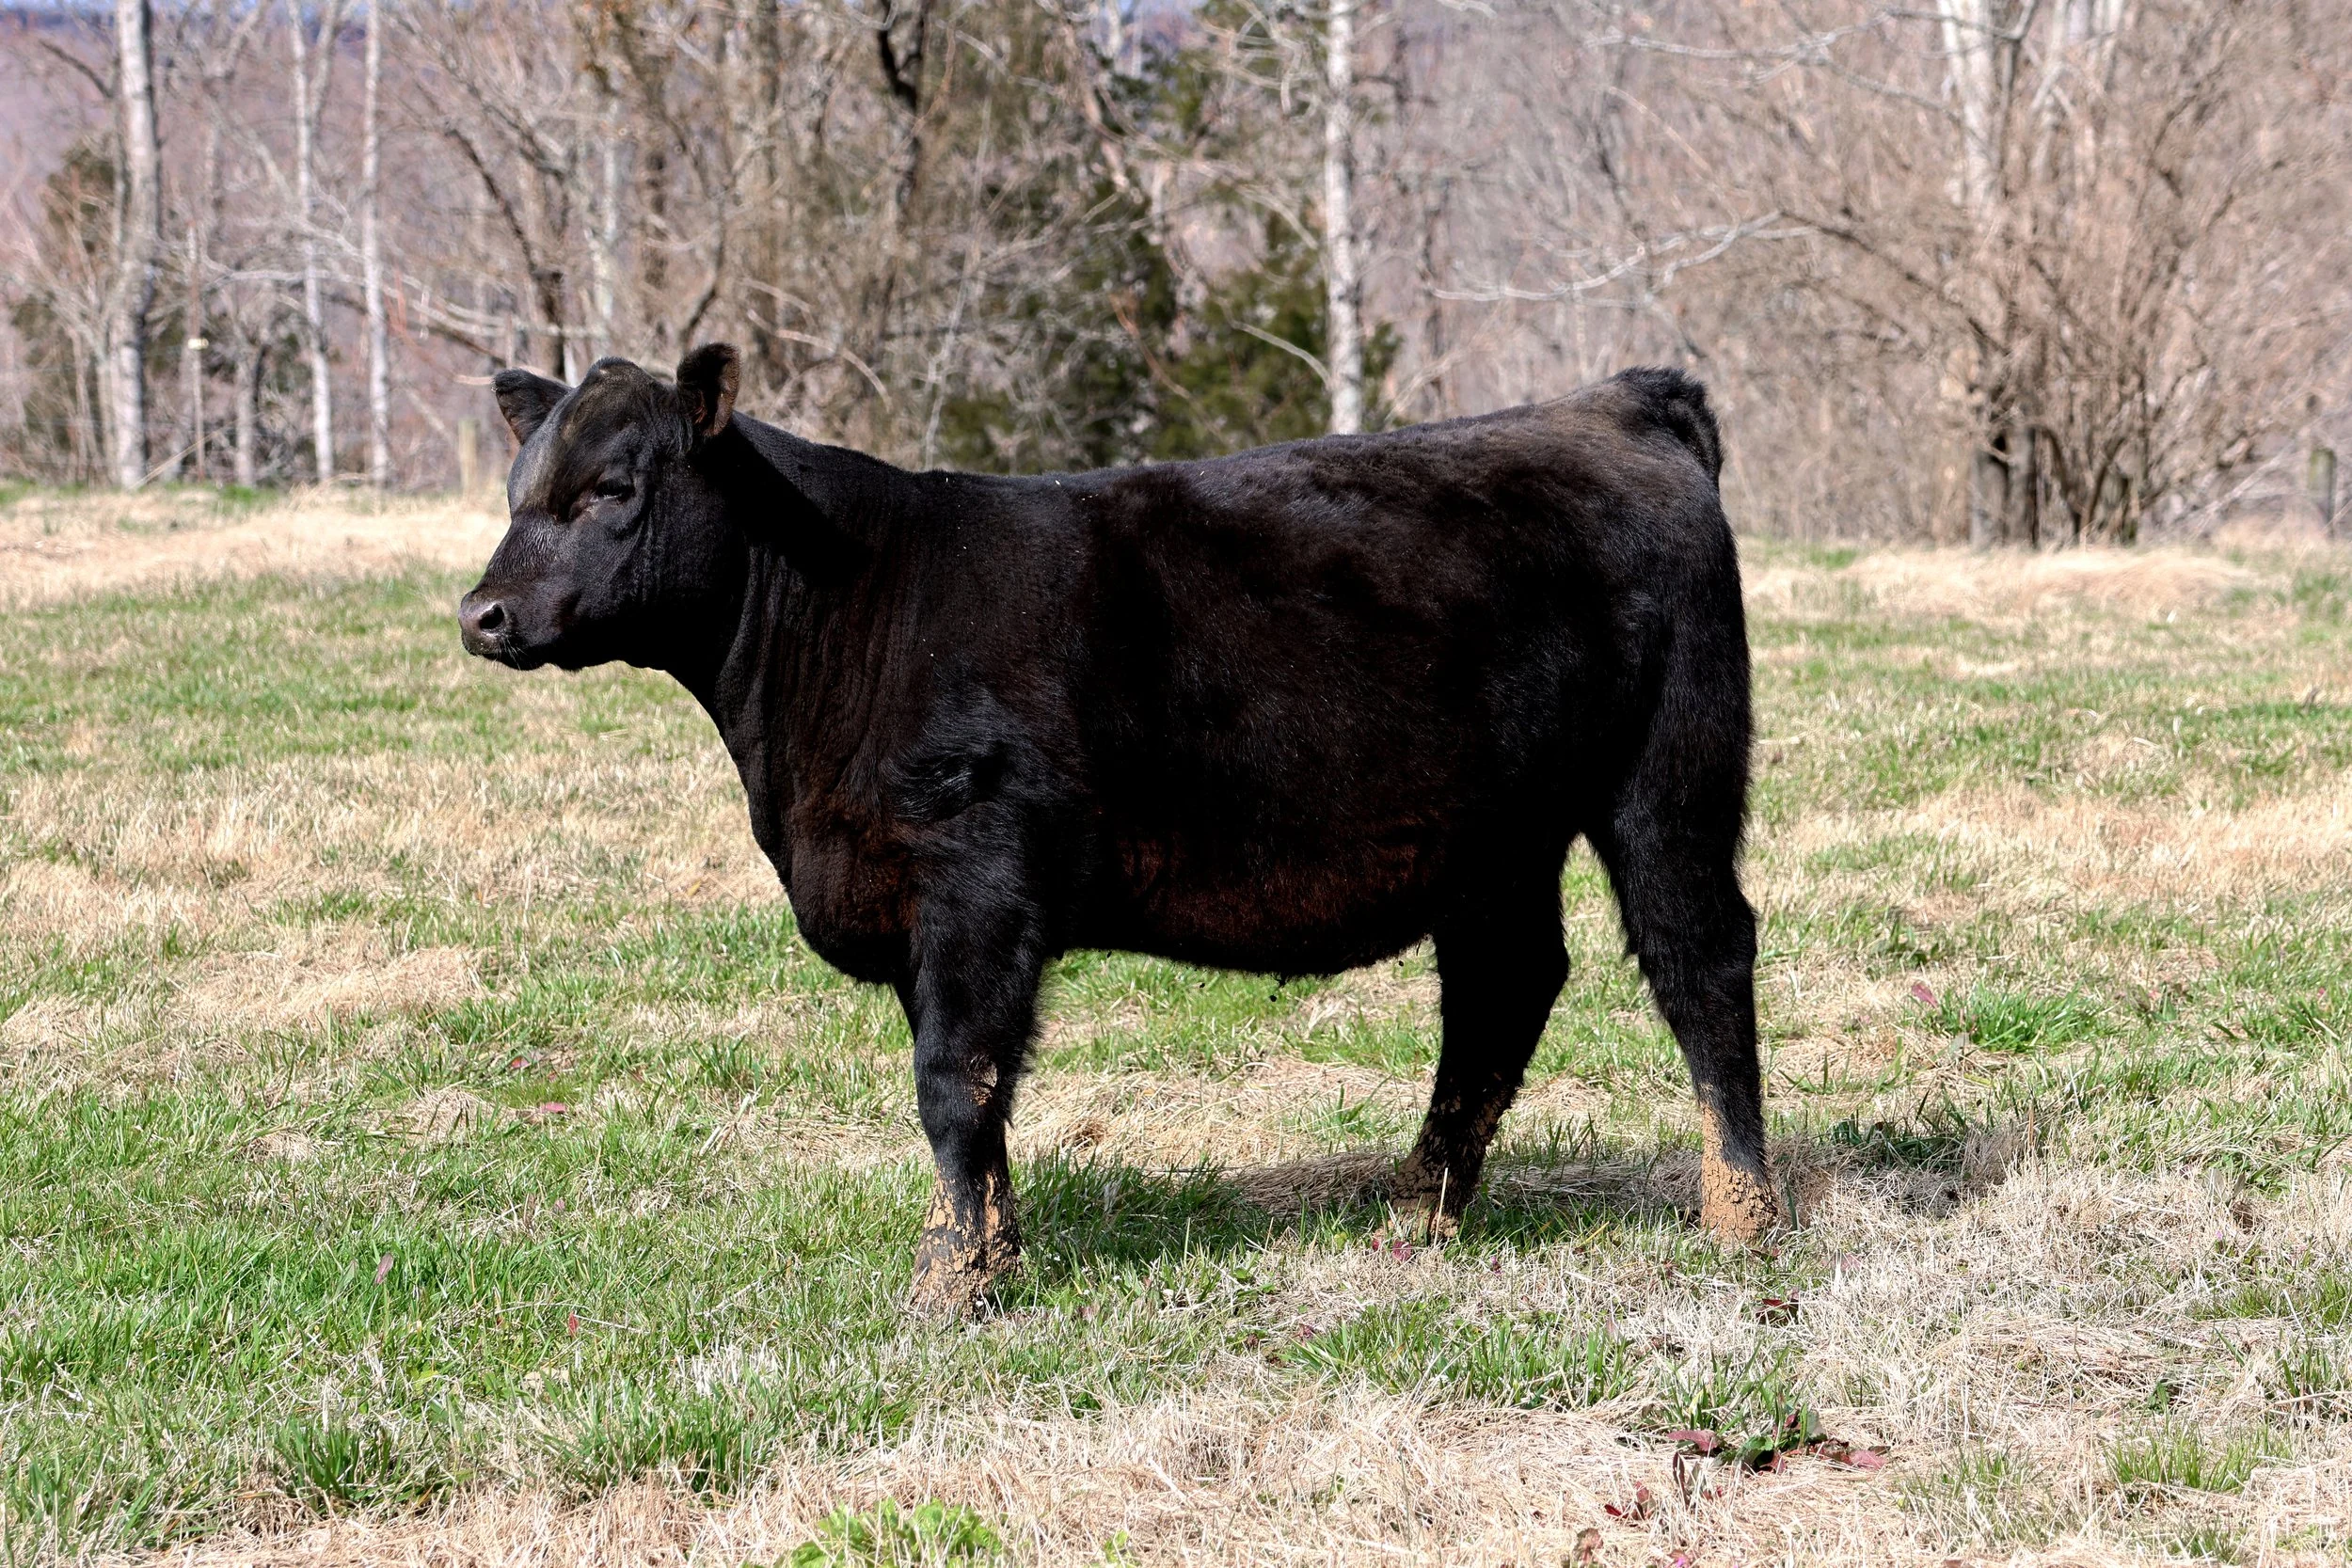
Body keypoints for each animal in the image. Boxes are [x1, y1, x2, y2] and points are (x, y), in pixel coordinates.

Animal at [460, 343, 1776, 1315]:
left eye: (612, 490)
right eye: (519, 490)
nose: (483, 613)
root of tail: (1613, 404)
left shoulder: (974, 879)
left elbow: (954, 1080)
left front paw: (948, 1285)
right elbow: (980, 1094)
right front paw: (992, 1253)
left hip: (1668, 779)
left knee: (1700, 959)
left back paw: (1744, 1217)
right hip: (1490, 834)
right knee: (1502, 986)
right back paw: (1417, 1210)